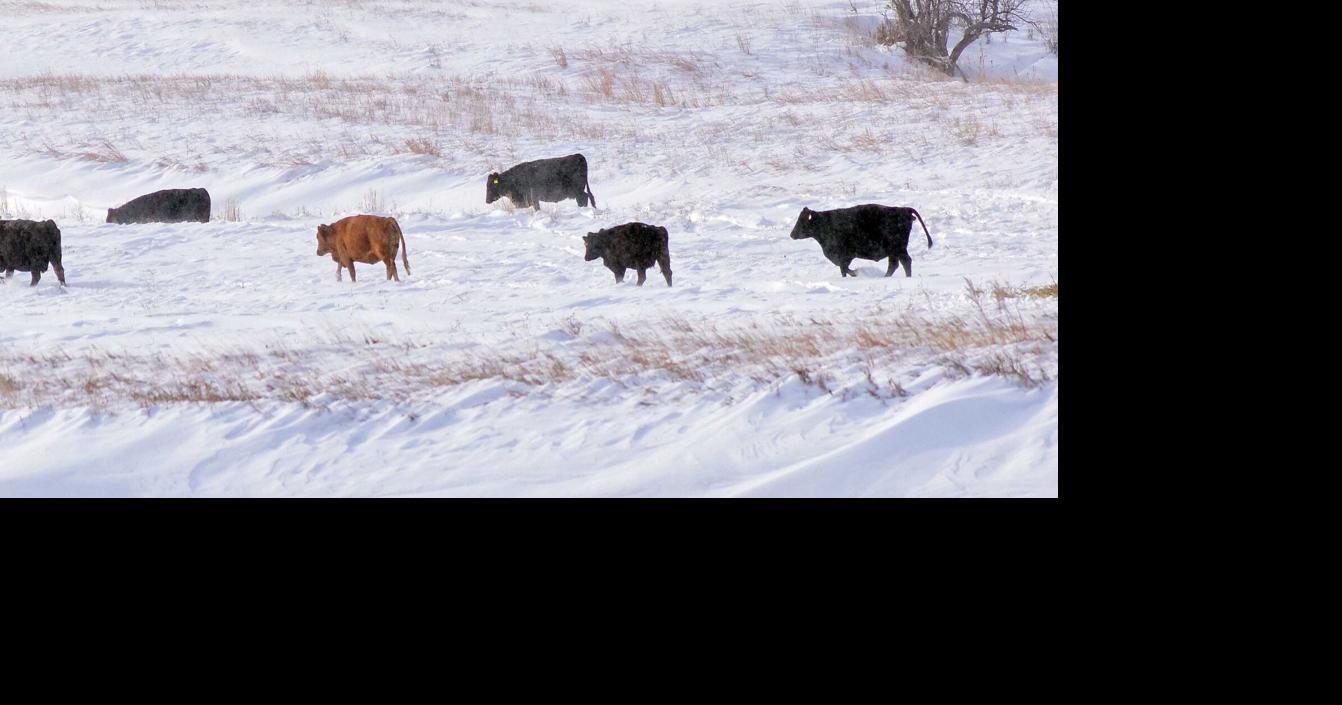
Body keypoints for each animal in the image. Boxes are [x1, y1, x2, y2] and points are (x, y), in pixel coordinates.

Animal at [788, 204, 932, 278]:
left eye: (802, 221)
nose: (792, 234)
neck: (824, 223)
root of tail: (904, 210)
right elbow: (843, 268)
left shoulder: (844, 256)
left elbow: (844, 267)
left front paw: (855, 273)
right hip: (894, 251)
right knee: (895, 264)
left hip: (898, 249)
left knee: (904, 262)